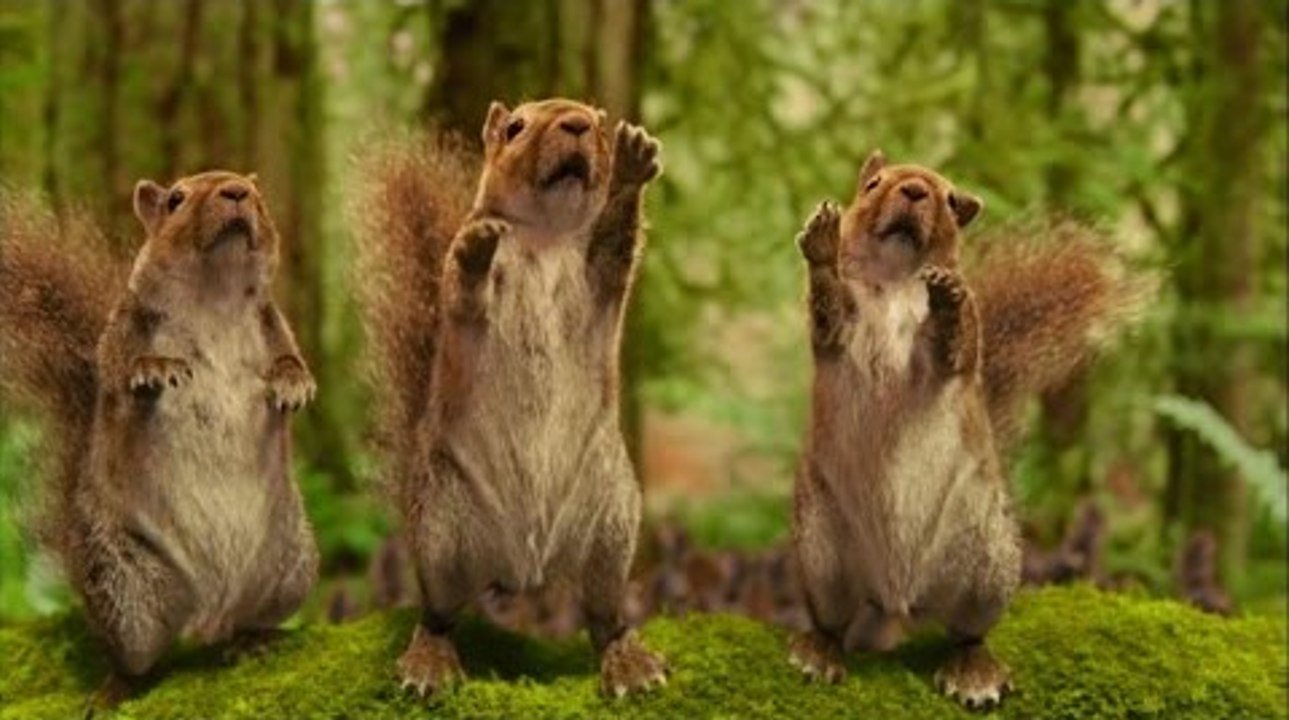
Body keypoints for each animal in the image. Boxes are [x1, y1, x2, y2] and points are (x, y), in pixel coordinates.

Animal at [0, 172, 318, 703]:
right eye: (176, 200)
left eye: (259, 195)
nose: (237, 190)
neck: (215, 297)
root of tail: (208, 612)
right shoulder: (122, 340)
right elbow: (120, 383)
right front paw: (153, 370)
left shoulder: (275, 326)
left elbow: (290, 357)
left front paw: (292, 384)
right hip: (126, 591)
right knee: (136, 656)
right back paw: (116, 688)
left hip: (290, 569)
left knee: (247, 621)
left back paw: (252, 638)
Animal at [354, 98, 667, 699]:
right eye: (516, 126)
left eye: (599, 122)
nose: (577, 124)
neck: (544, 238)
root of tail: (526, 568)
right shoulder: (465, 298)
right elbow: (462, 284)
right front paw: (477, 246)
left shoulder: (600, 275)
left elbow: (617, 246)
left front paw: (633, 166)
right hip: (441, 534)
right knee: (439, 614)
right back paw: (429, 661)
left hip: (610, 530)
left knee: (604, 616)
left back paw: (627, 660)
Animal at [788, 150, 1150, 709]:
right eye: (872, 183)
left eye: (952, 201)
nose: (915, 189)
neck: (896, 283)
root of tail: (897, 596)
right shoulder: (838, 328)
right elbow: (827, 310)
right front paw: (823, 241)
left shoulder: (957, 349)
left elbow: (958, 344)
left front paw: (949, 295)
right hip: (821, 555)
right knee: (831, 620)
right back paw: (819, 652)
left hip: (988, 567)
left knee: (968, 633)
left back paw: (973, 674)